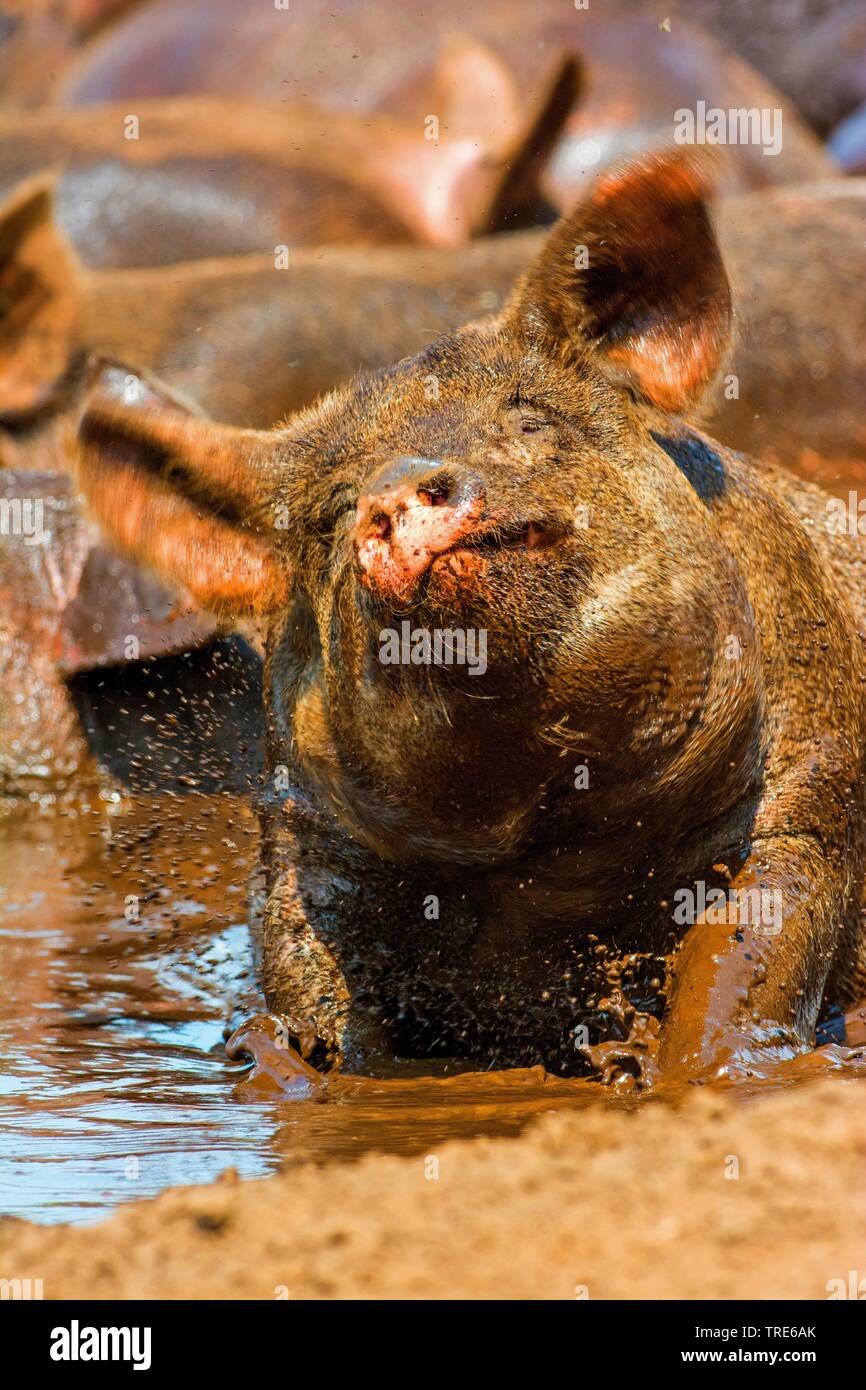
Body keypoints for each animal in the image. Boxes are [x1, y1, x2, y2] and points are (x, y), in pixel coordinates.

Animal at [73, 152, 866, 1084]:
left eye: (527, 418)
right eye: (332, 511)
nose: (394, 487)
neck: (546, 844)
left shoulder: (812, 779)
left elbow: (751, 948)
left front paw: (663, 1069)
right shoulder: (305, 828)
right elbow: (302, 956)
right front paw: (289, 1060)